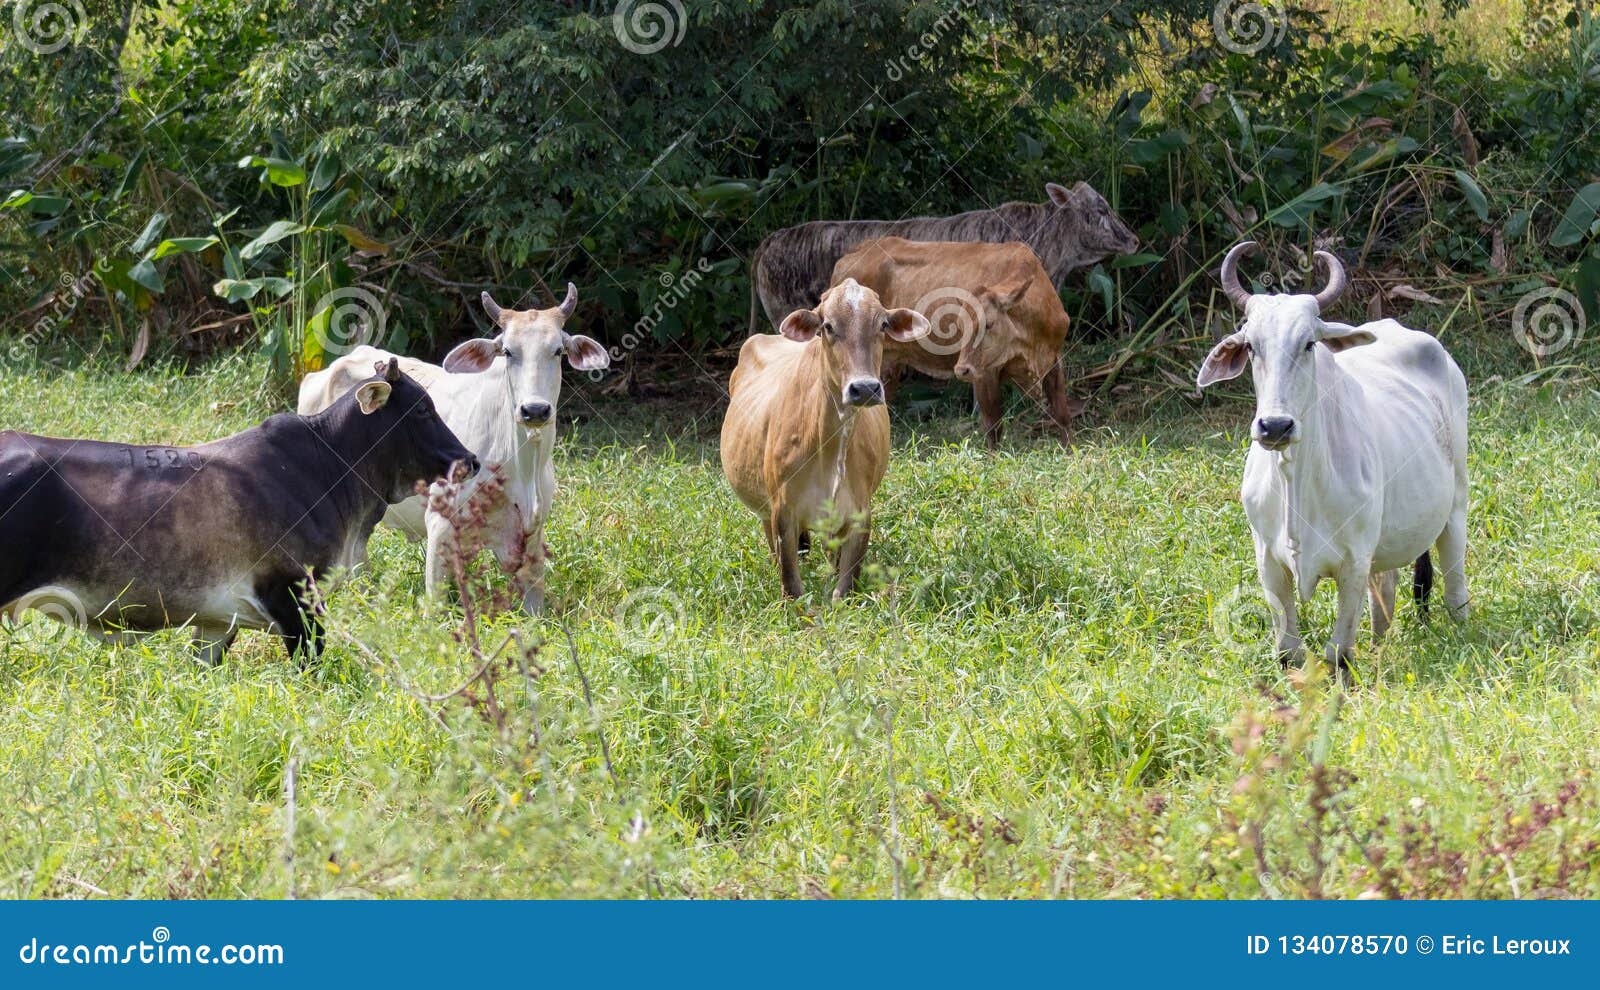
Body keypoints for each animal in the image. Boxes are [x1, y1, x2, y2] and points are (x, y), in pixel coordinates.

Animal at [297, 282, 608, 614]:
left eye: (558, 351)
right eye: (508, 352)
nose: (534, 410)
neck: (521, 467)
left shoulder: (533, 539)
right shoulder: (440, 528)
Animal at [721, 278, 930, 599]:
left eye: (882, 324)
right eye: (828, 326)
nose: (864, 388)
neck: (831, 447)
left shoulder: (859, 512)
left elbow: (844, 587)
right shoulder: (782, 511)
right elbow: (792, 584)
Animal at [830, 237, 1087, 448]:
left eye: (989, 324)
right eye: (960, 326)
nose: (962, 369)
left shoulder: (1054, 359)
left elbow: (1062, 414)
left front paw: (1070, 452)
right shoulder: (986, 372)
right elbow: (993, 425)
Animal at [1196, 241, 1469, 672]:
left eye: (1309, 343)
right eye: (1252, 346)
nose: (1275, 427)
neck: (1296, 478)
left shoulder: (1354, 563)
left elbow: (1338, 654)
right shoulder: (1268, 562)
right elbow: (1288, 651)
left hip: (1456, 501)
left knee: (1455, 579)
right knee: (1385, 594)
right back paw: (1380, 647)